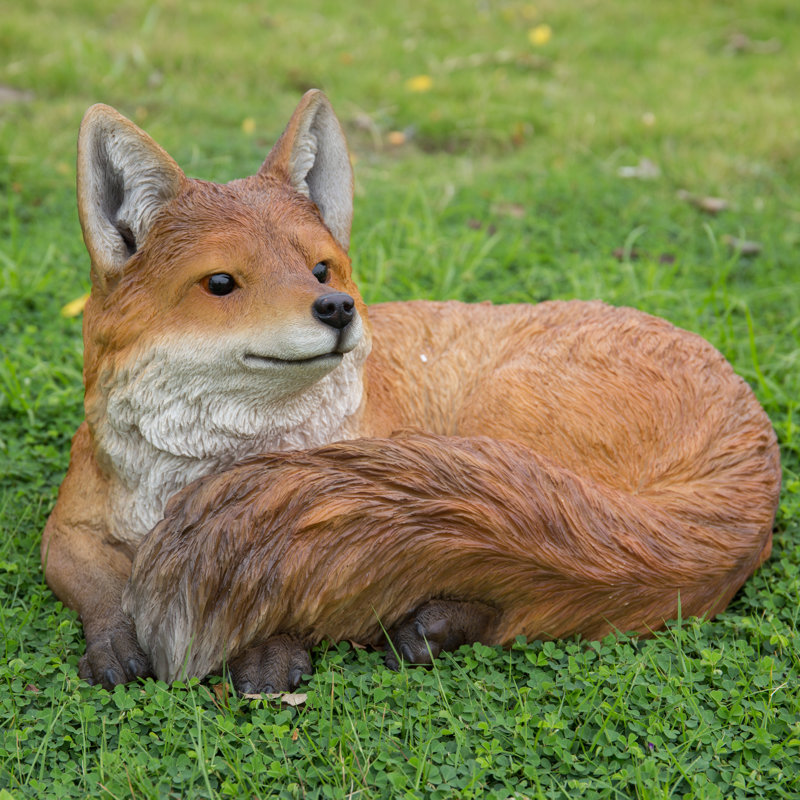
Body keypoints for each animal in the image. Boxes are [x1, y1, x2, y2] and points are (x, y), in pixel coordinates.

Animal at [43, 90, 780, 694]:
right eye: (221, 284)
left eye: (321, 269)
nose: (337, 308)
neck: (205, 473)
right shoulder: (65, 529)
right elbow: (99, 590)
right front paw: (115, 644)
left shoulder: (326, 520)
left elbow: (296, 586)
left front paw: (270, 650)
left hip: (500, 433)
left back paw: (431, 624)